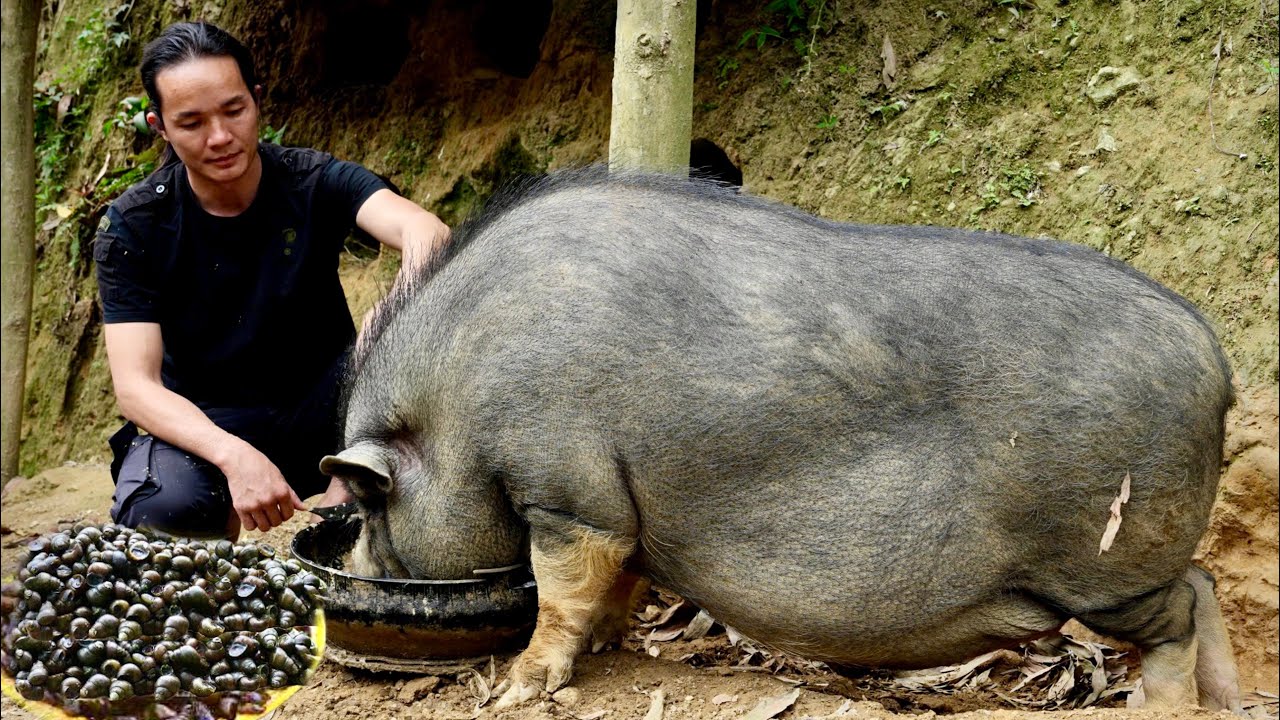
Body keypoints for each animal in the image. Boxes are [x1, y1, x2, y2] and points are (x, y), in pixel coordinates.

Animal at [321, 167, 1242, 712]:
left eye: (366, 506)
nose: (356, 563)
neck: (455, 408)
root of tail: (1216, 353)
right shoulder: (623, 505)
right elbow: (620, 578)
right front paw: (614, 643)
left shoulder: (564, 488)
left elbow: (562, 589)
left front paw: (518, 690)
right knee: (1202, 585)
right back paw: (1227, 699)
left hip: (1110, 558)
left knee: (1177, 615)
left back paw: (1162, 708)